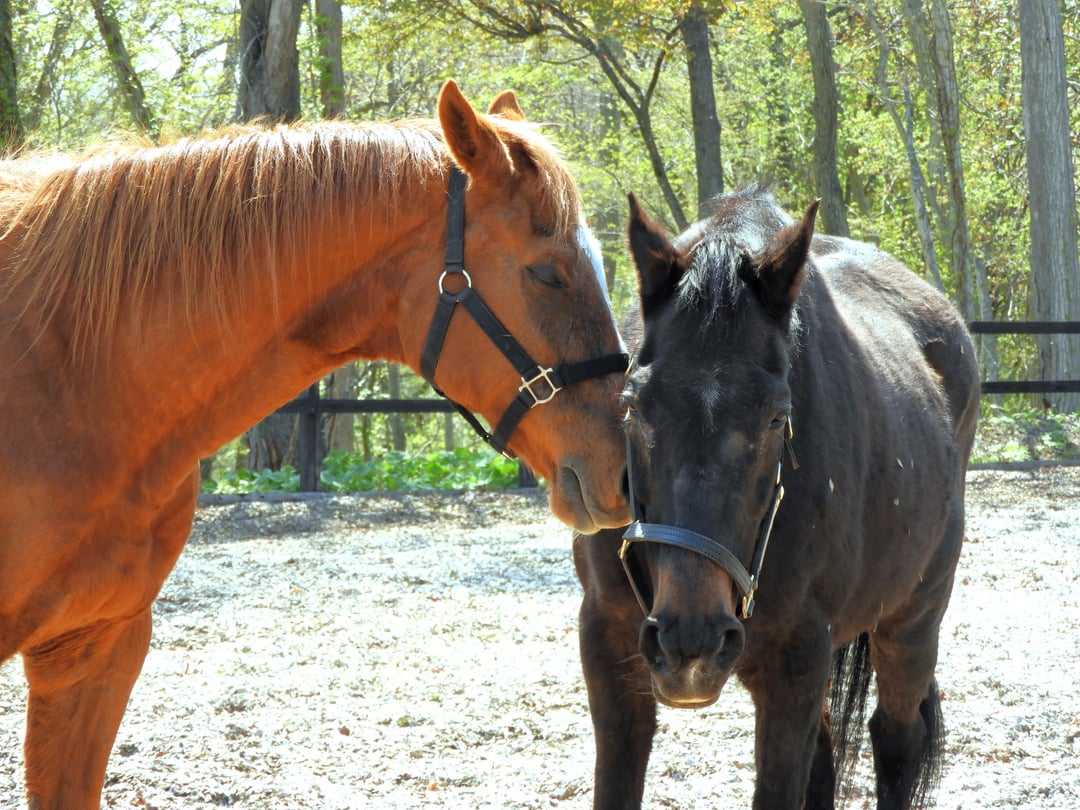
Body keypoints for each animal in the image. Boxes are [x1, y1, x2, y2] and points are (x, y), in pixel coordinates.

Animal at [573, 187, 979, 810]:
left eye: (776, 417)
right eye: (633, 406)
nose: (691, 640)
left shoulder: (798, 659)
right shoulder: (606, 642)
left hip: (914, 618)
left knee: (895, 740)